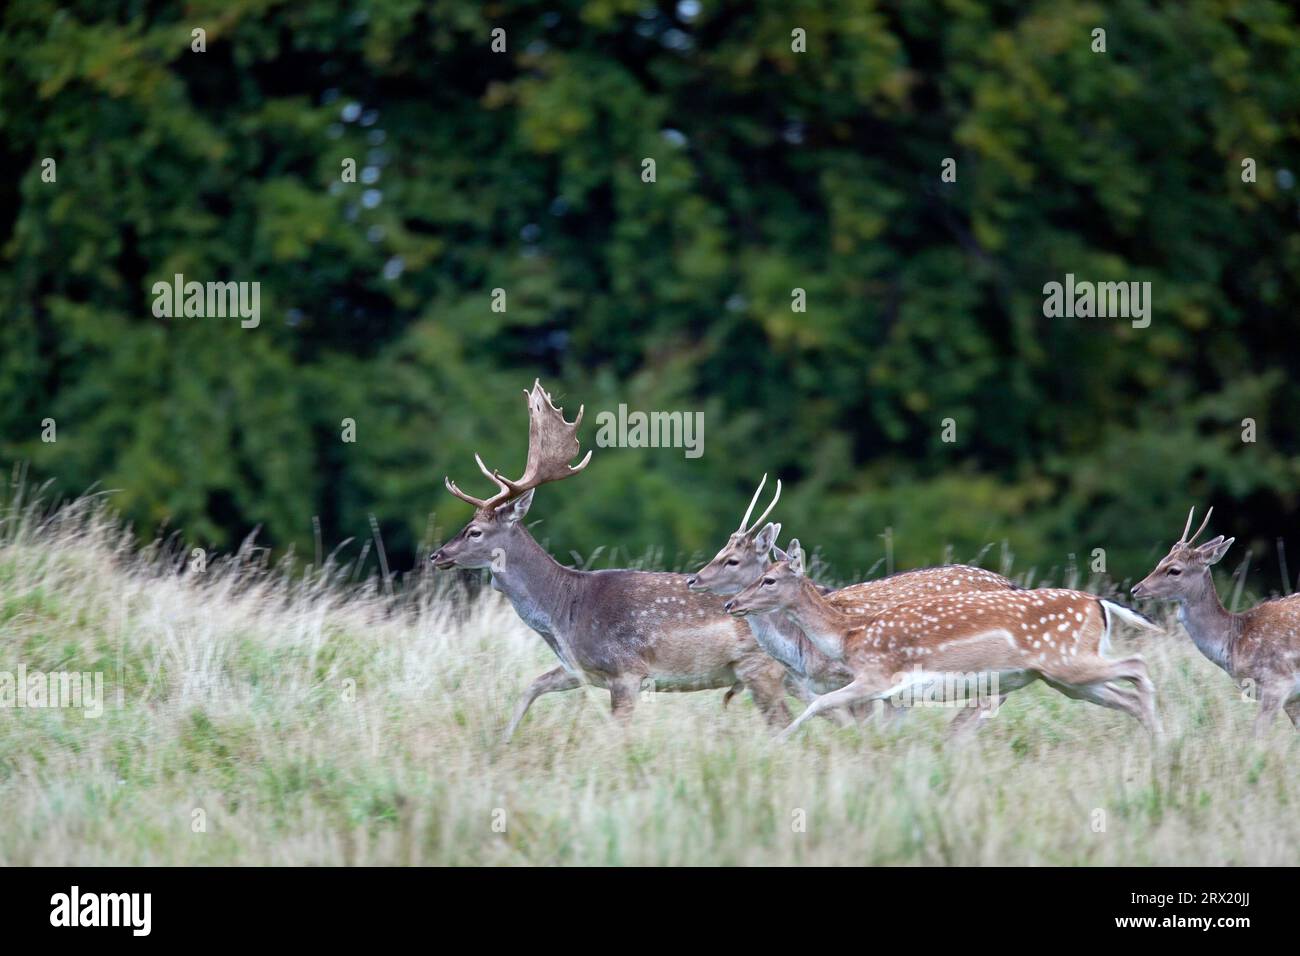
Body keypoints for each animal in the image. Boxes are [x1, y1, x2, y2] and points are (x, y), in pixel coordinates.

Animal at [429, 380, 792, 740]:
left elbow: (617, 732)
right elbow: (531, 687)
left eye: (475, 532)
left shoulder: (627, 670)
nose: (437, 555)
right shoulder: (578, 669)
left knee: (784, 723)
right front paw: (503, 740)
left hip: (762, 668)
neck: (564, 612)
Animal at [685, 476, 1018, 730]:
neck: (802, 650)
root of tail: (1010, 583)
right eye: (720, 550)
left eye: (732, 560)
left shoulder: (860, 678)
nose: (693, 579)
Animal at [723, 545, 1162, 741]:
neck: (849, 635)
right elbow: (882, 732)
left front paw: (777, 741)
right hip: (1067, 679)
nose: (731, 604)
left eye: (768, 580)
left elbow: (821, 702)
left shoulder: (877, 677)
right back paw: (1157, 741)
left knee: (1138, 665)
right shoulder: (897, 696)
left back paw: (1163, 735)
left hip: (1067, 662)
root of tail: (1098, 603)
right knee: (1126, 694)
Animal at [1131, 507, 1300, 736]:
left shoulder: (1279, 682)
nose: (1136, 589)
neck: (1234, 641)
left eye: (1174, 570)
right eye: (1160, 562)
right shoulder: (1291, 697)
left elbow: (1257, 735)